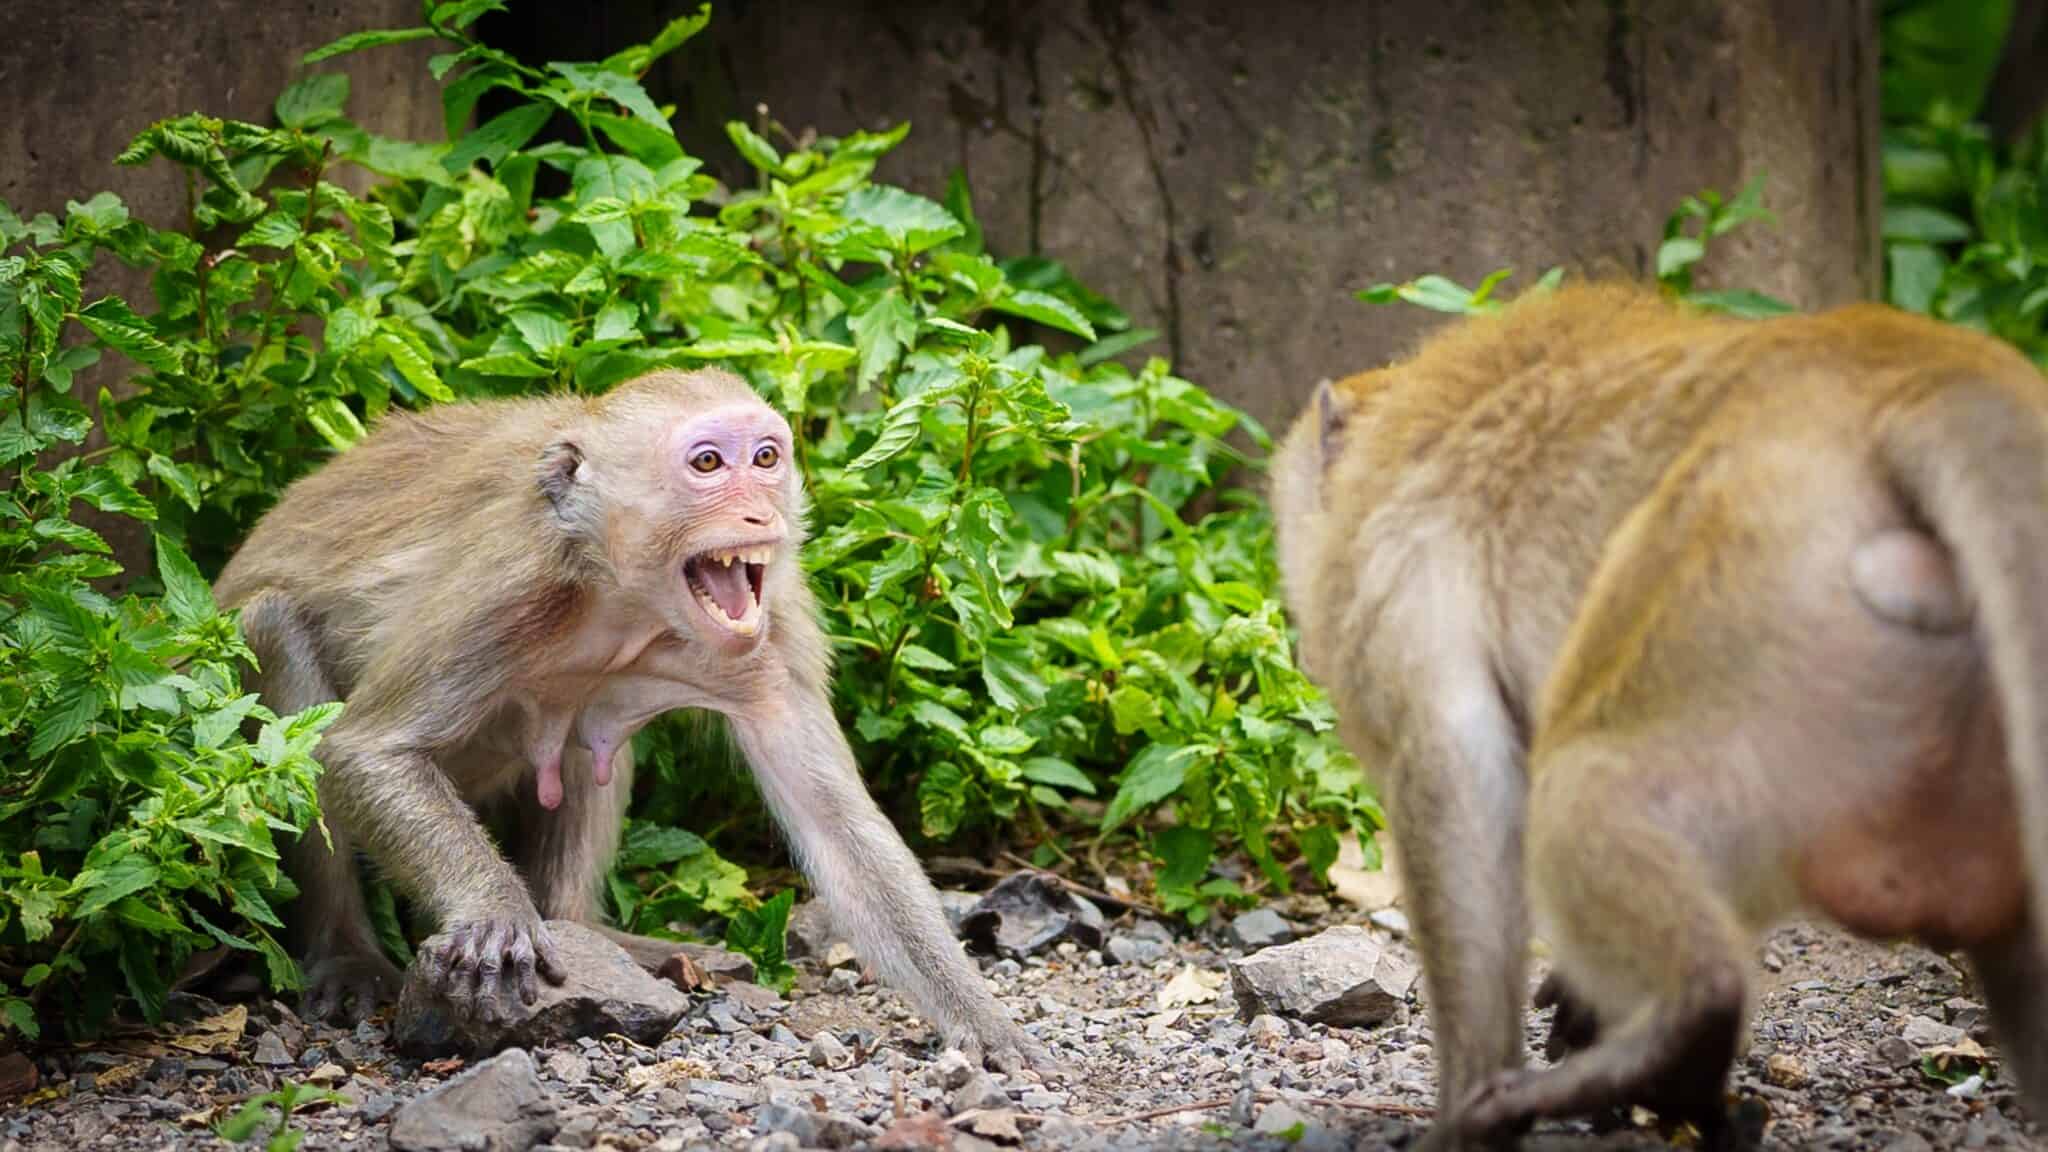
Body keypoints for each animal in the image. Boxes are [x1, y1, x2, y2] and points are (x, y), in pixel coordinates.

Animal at [212, 366, 1042, 1069]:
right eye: (708, 464)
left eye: (766, 457)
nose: (760, 512)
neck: (624, 596)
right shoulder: (505, 584)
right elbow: (366, 750)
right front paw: (495, 910)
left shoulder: (774, 624)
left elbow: (840, 832)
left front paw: (979, 1016)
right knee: (273, 627)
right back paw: (346, 949)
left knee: (582, 743)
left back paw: (585, 926)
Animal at [1267, 279, 2048, 1149]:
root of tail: (1927, 368)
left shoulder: (1389, 593)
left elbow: (1457, 782)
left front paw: (1463, 1118)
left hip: (1741, 599)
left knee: (1579, 791)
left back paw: (1679, 1036)